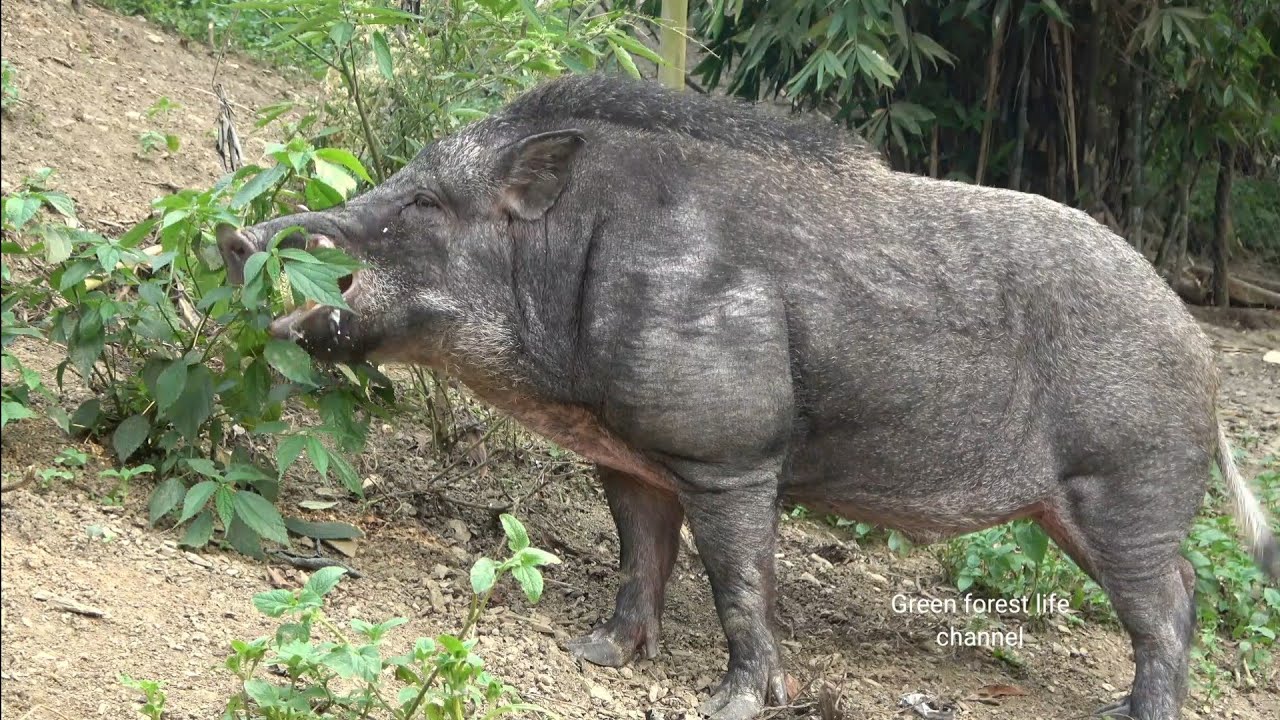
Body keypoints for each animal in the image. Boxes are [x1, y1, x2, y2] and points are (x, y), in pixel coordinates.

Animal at [217, 73, 1278, 720]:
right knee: (1179, 590)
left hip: (1129, 477)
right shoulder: (628, 456)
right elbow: (638, 559)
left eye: (423, 204)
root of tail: (1203, 351)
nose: (239, 235)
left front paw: (726, 702)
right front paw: (594, 657)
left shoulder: (729, 452)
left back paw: (1136, 712)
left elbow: (738, 580)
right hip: (1077, 505)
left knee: (1170, 601)